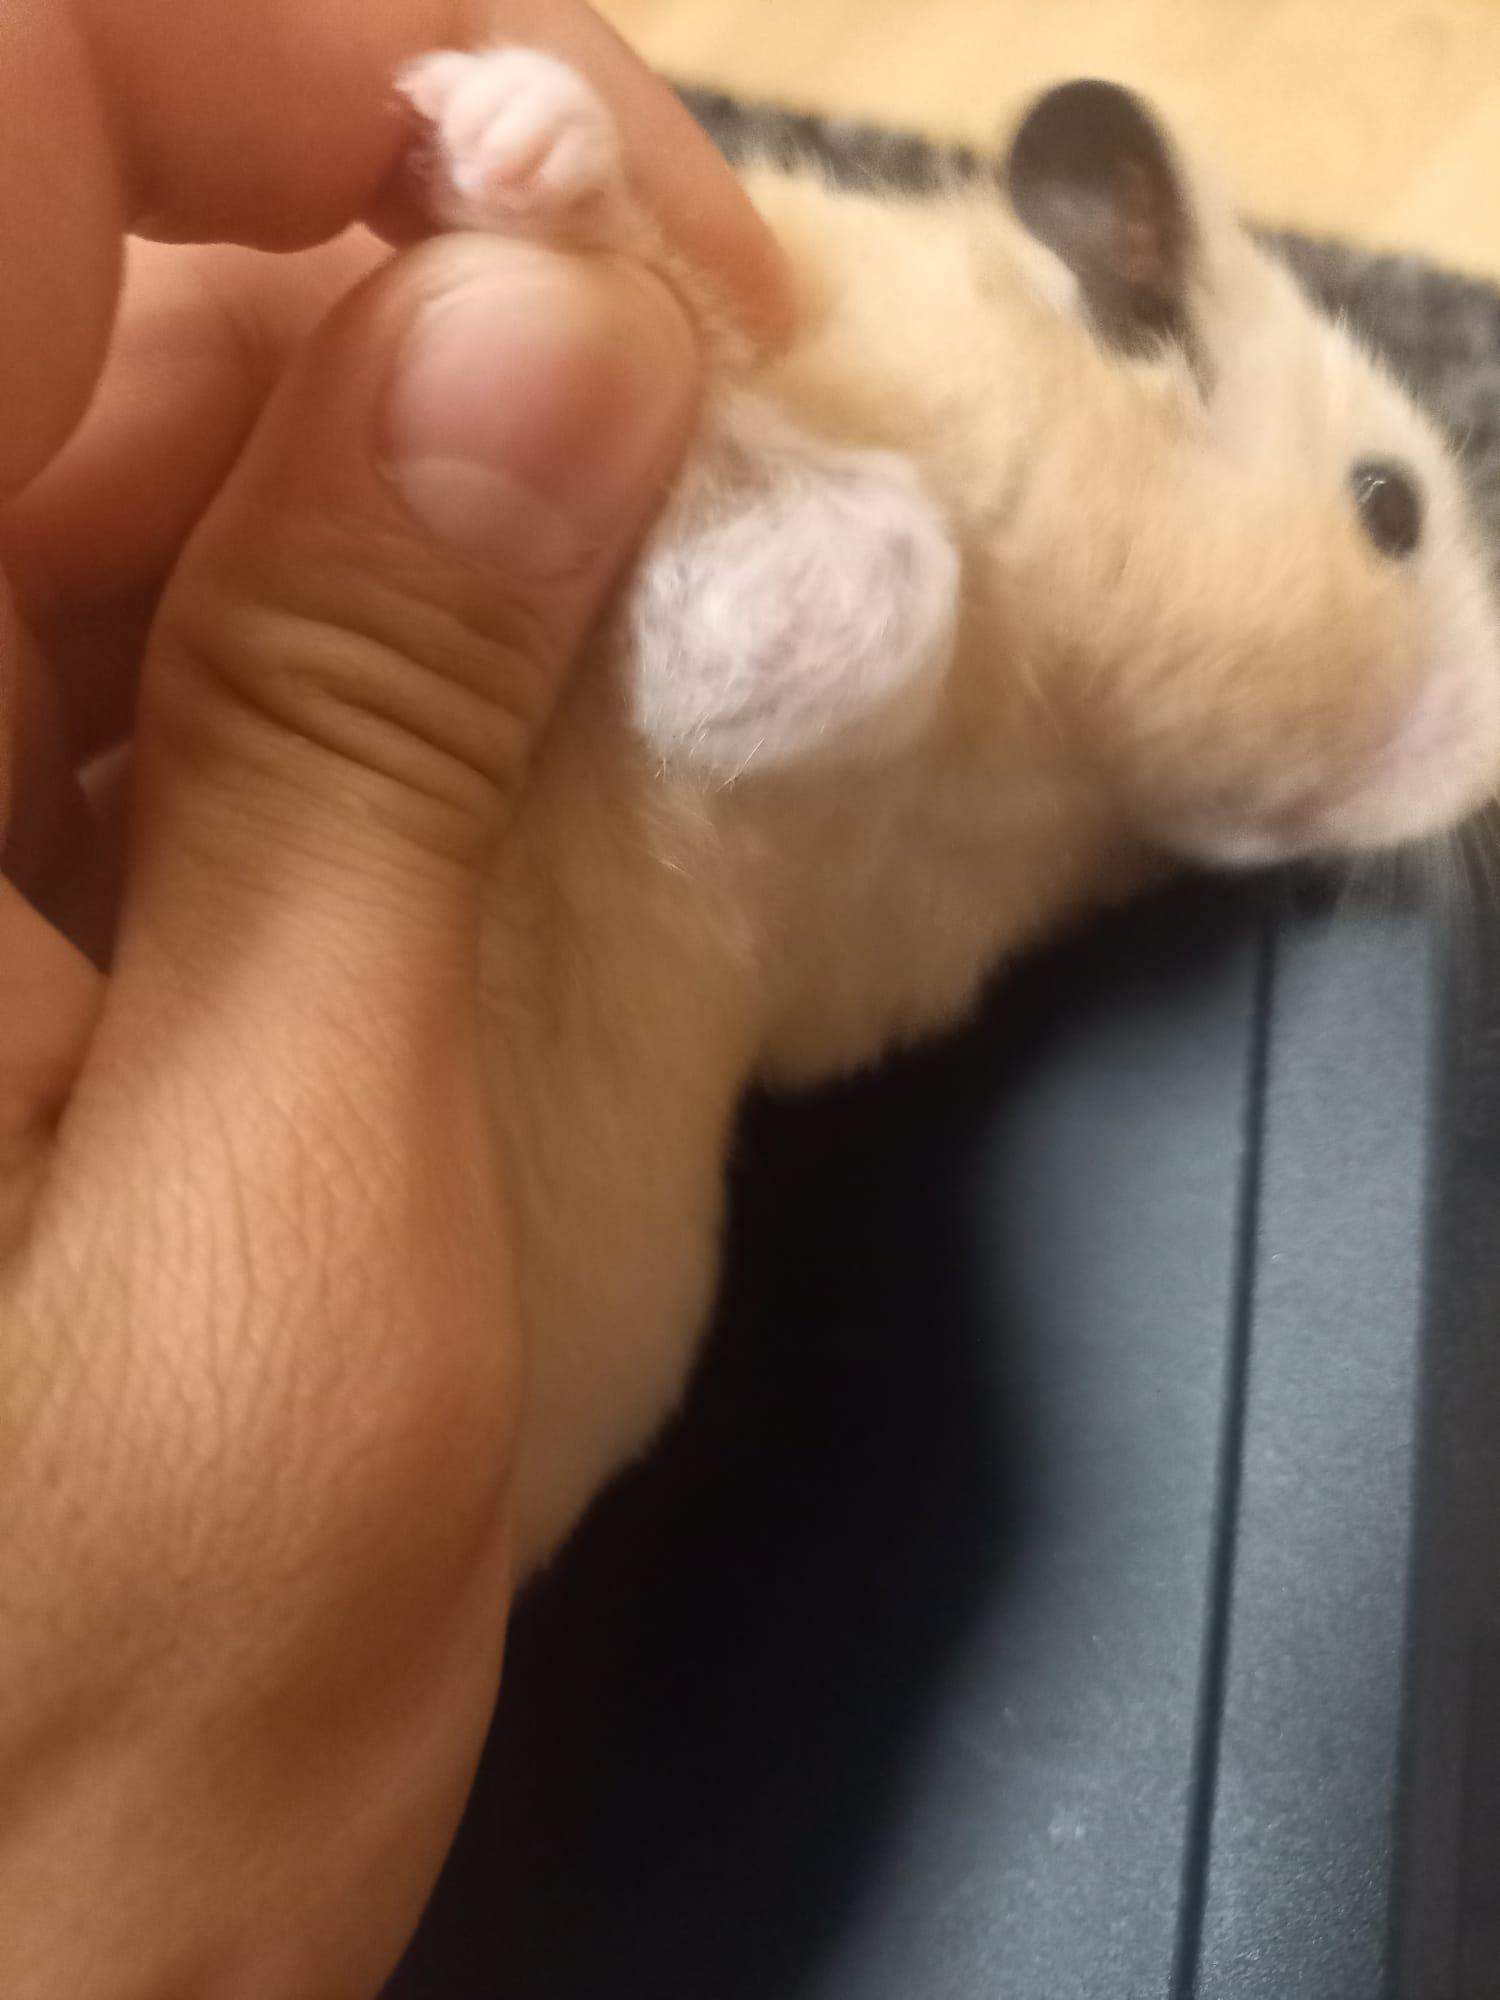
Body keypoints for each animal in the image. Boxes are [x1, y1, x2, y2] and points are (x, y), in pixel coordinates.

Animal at [397, 49, 1500, 1570]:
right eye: (1390, 508)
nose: (1496, 761)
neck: (1047, 719)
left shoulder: (865, 951)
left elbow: (799, 617)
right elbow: (736, 393)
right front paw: (497, 123)